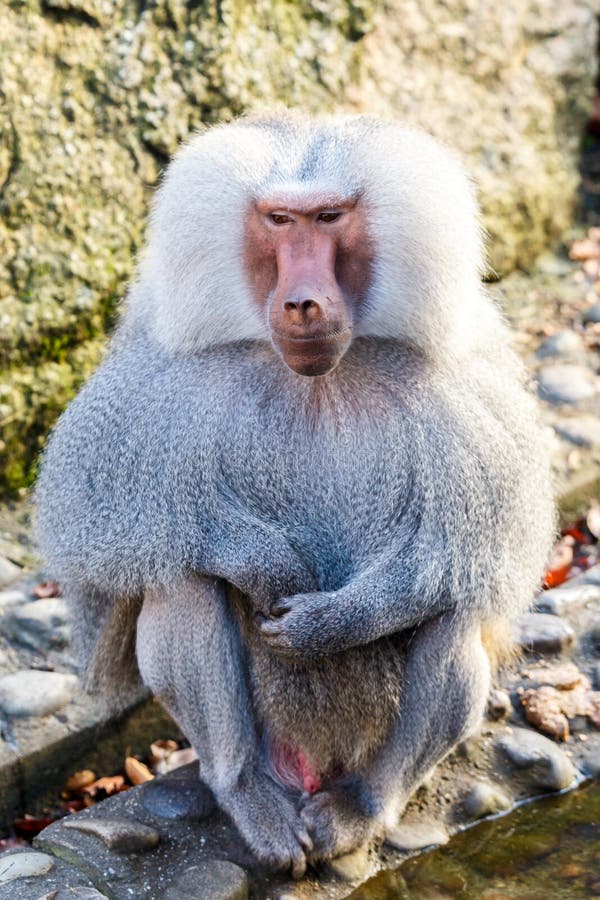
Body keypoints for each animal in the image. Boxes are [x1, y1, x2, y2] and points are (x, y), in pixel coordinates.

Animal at [36, 113, 555, 878]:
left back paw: (359, 811)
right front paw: (265, 564)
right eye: (279, 220)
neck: (318, 380)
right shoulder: (151, 391)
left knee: (454, 612)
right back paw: (252, 801)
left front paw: (330, 622)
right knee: (182, 581)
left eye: (329, 218)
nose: (303, 301)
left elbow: (472, 555)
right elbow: (101, 528)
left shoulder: (467, 396)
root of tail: (311, 769)